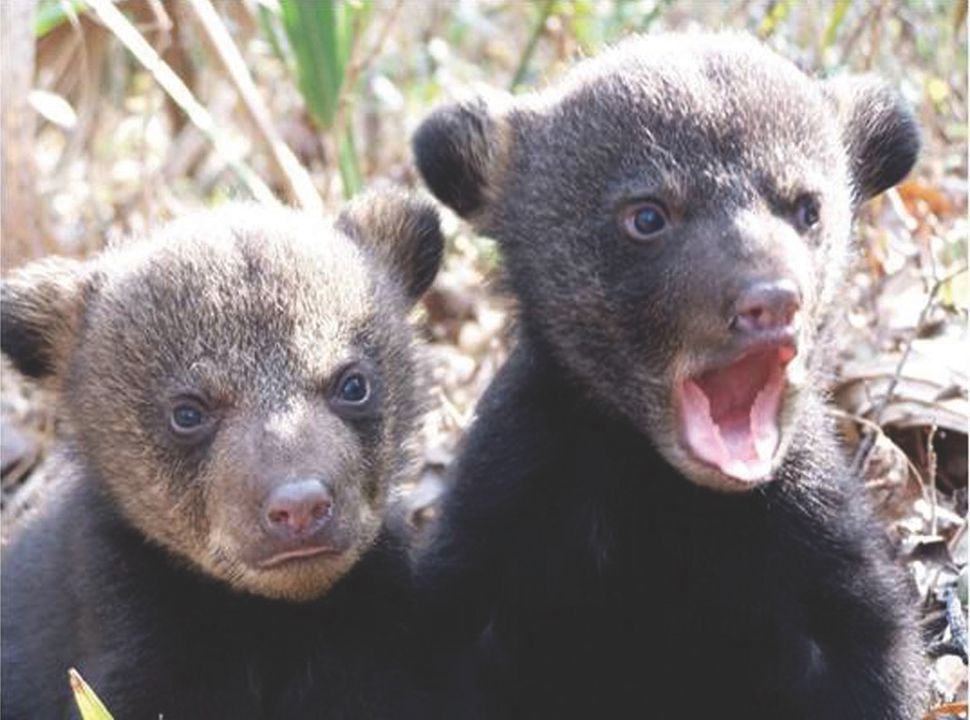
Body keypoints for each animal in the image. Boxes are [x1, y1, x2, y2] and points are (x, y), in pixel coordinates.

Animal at [411, 32, 926, 719]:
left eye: (806, 208)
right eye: (647, 216)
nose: (770, 303)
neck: (660, 487)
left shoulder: (807, 524)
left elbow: (865, 648)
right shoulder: (512, 496)